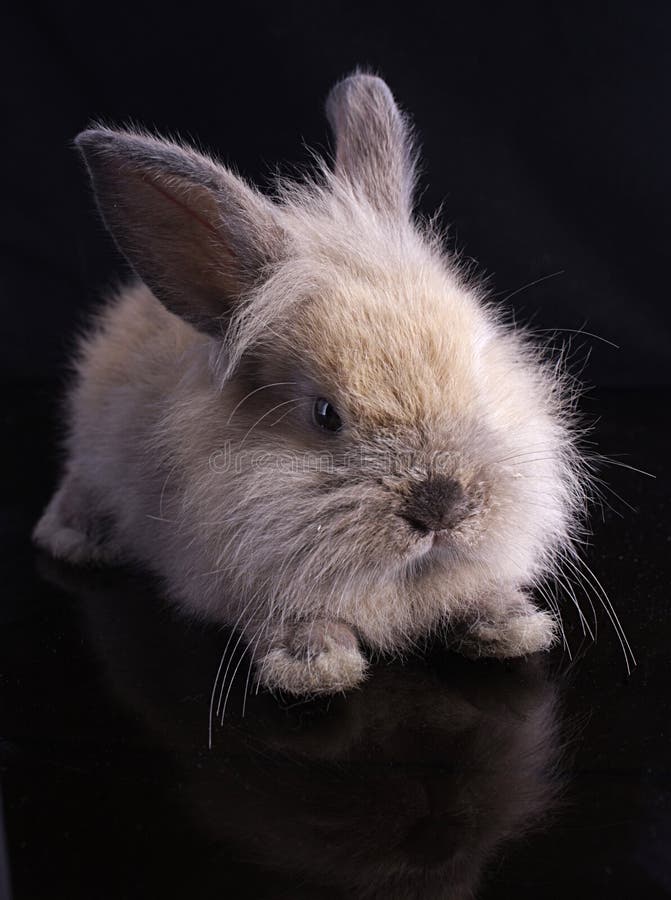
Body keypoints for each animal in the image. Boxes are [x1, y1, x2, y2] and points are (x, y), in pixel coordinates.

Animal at [33, 72, 586, 696]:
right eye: (325, 415)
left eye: (477, 377)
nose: (443, 505)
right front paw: (313, 664)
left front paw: (509, 624)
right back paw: (75, 539)